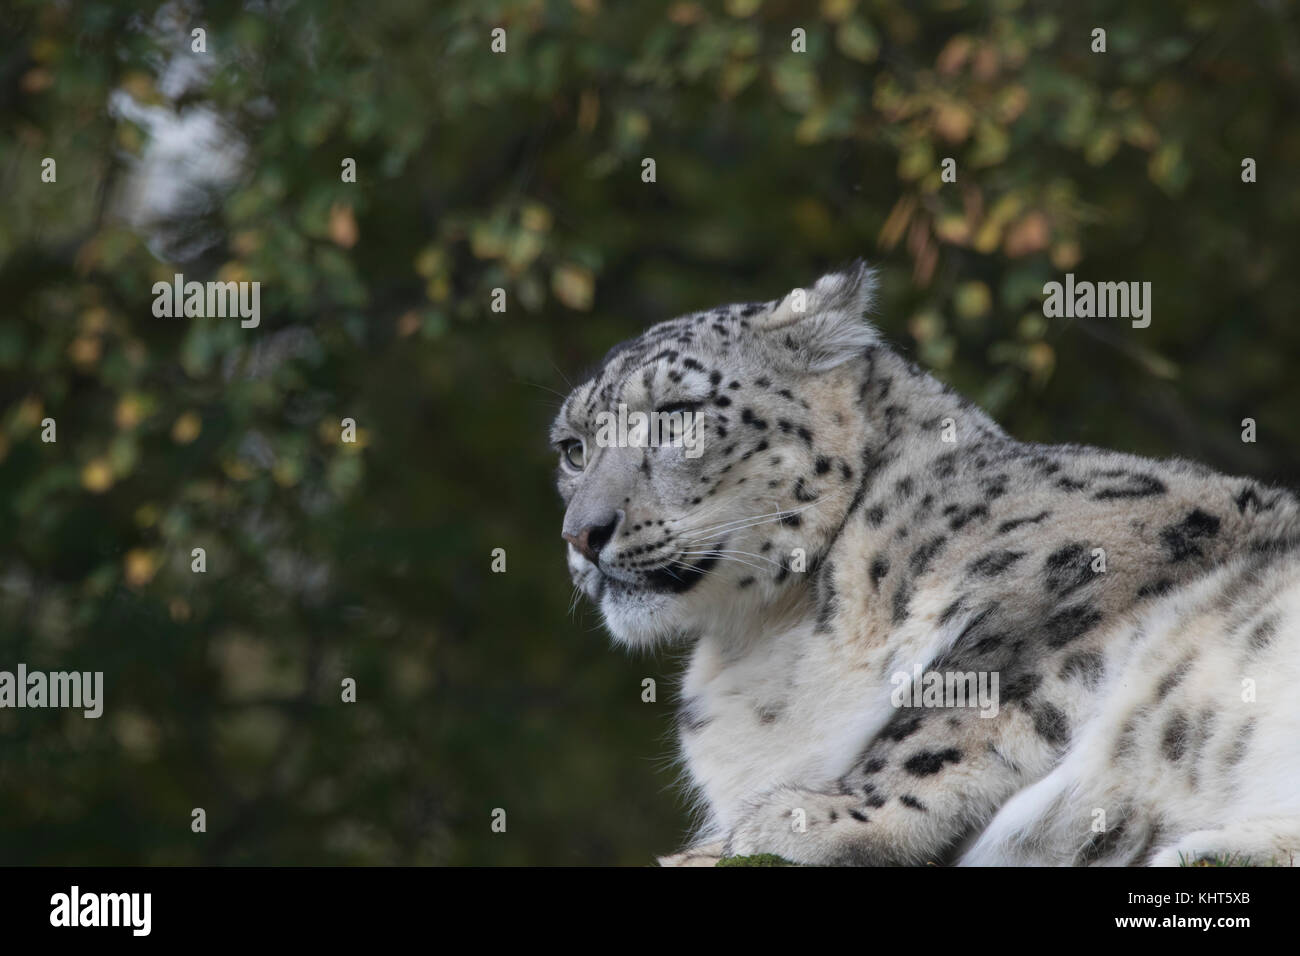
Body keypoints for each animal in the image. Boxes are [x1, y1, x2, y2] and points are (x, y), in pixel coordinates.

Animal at [549, 260, 1300, 866]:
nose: (582, 534)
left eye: (677, 414)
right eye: (572, 449)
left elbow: (949, 709)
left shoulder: (1088, 560)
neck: (765, 635)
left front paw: (803, 820)